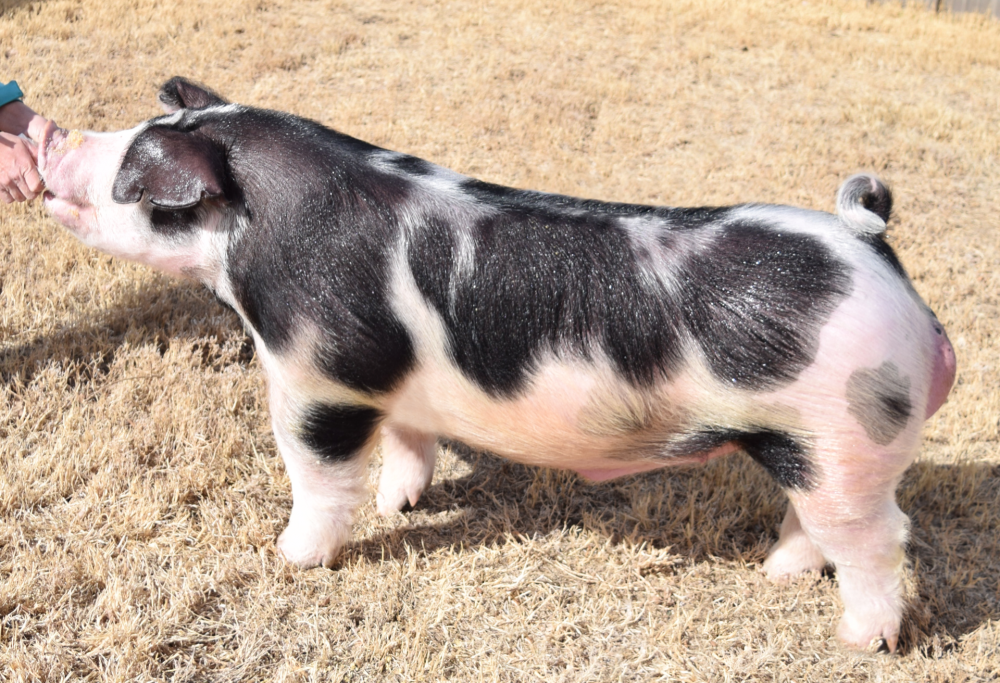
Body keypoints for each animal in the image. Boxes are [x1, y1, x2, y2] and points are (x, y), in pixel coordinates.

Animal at [36, 77, 956, 652]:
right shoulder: (396, 389)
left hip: (847, 437)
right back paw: (776, 572)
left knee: (881, 540)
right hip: (810, 445)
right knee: (814, 520)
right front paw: (399, 502)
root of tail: (874, 252)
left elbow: (314, 470)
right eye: (132, 139)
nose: (54, 142)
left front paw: (292, 555)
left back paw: (862, 640)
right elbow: (410, 441)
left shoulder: (317, 372)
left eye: (130, 174)